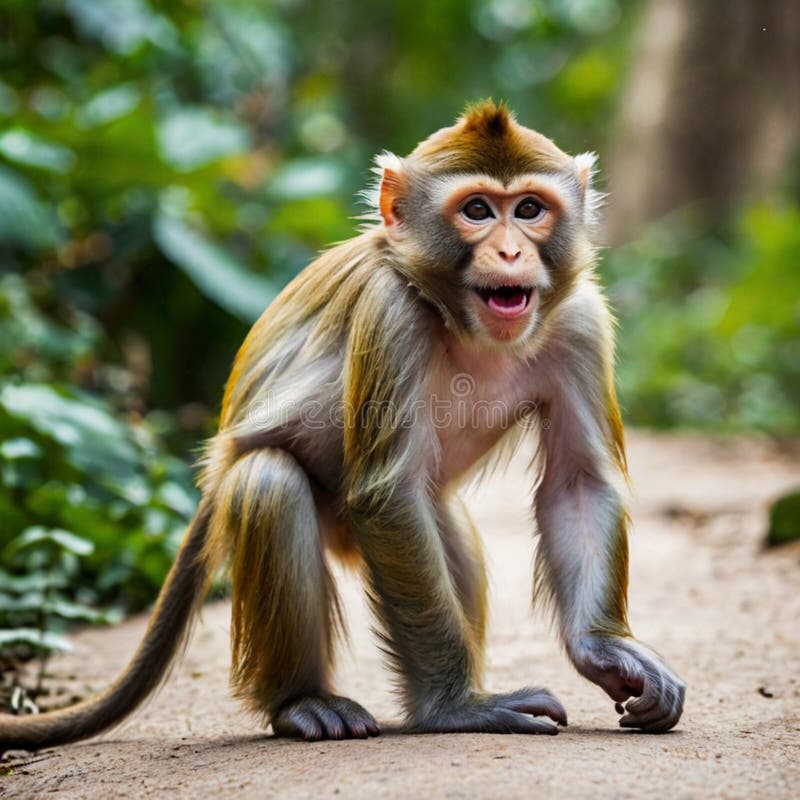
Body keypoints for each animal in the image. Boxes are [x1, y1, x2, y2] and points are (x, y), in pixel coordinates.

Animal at [0, 101, 685, 751]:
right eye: (478, 210)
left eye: (530, 209)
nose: (512, 251)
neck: (463, 325)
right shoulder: (391, 312)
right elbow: (385, 497)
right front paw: (455, 709)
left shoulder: (579, 323)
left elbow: (577, 484)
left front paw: (605, 652)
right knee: (270, 483)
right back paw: (303, 702)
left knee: (446, 526)